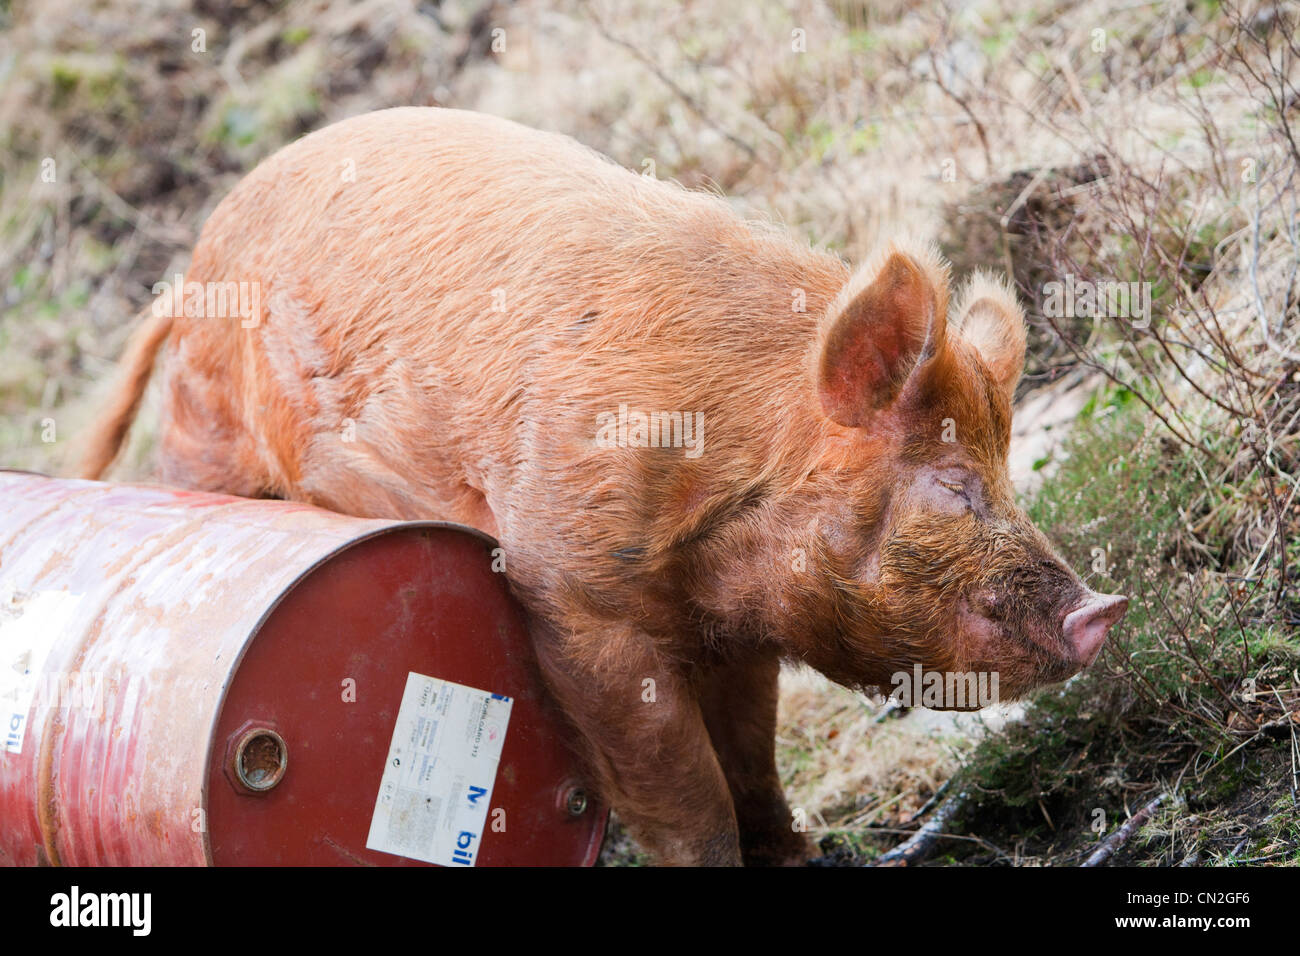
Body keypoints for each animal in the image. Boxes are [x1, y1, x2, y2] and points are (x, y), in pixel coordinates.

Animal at [78, 107, 1128, 866]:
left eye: (1004, 471)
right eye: (950, 483)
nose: (1104, 608)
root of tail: (189, 272)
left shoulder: (737, 629)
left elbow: (755, 768)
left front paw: (800, 855)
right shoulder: (575, 602)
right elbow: (688, 798)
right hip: (207, 442)